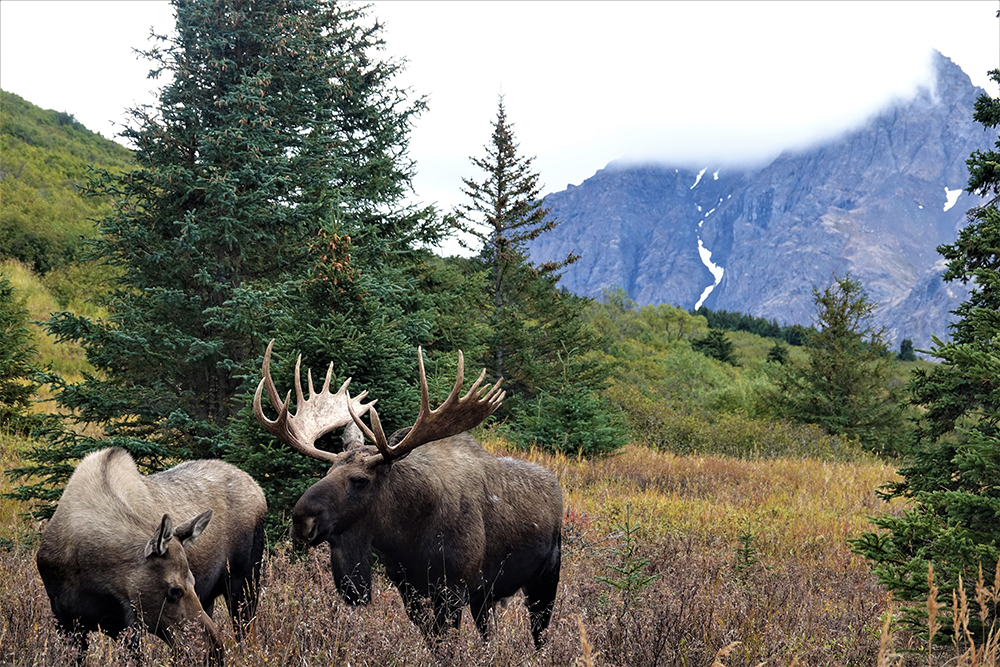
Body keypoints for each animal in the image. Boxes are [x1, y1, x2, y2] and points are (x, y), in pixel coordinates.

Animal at [36, 447, 267, 664]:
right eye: (174, 590)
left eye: (191, 581)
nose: (214, 651)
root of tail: (259, 489)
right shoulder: (65, 621)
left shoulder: (129, 627)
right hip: (212, 598)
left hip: (245, 585)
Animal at [253, 340, 562, 648]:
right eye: (327, 471)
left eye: (361, 480)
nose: (301, 521)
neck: (405, 536)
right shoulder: (409, 589)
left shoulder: (453, 589)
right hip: (486, 596)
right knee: (490, 635)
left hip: (545, 579)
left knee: (540, 635)